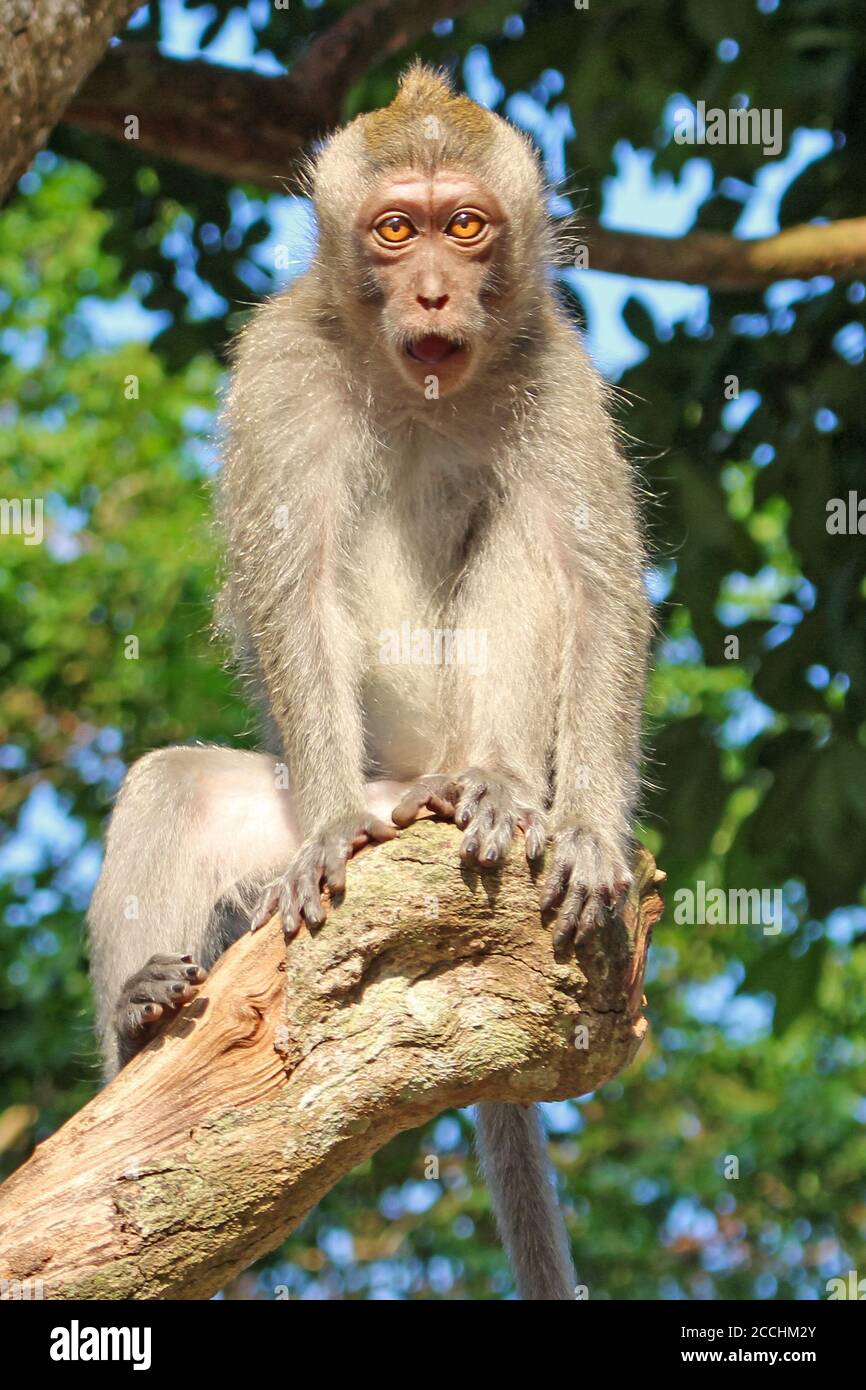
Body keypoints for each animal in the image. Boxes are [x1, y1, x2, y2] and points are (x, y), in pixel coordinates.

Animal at [86, 64, 651, 1301]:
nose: (434, 292)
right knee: (170, 786)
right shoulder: (281, 371)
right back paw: (144, 1020)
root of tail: (420, 780)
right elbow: (290, 584)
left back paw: (499, 787)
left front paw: (590, 830)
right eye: (395, 230)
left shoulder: (558, 377)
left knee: (524, 539)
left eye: (464, 226)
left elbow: (596, 587)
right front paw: (333, 824)